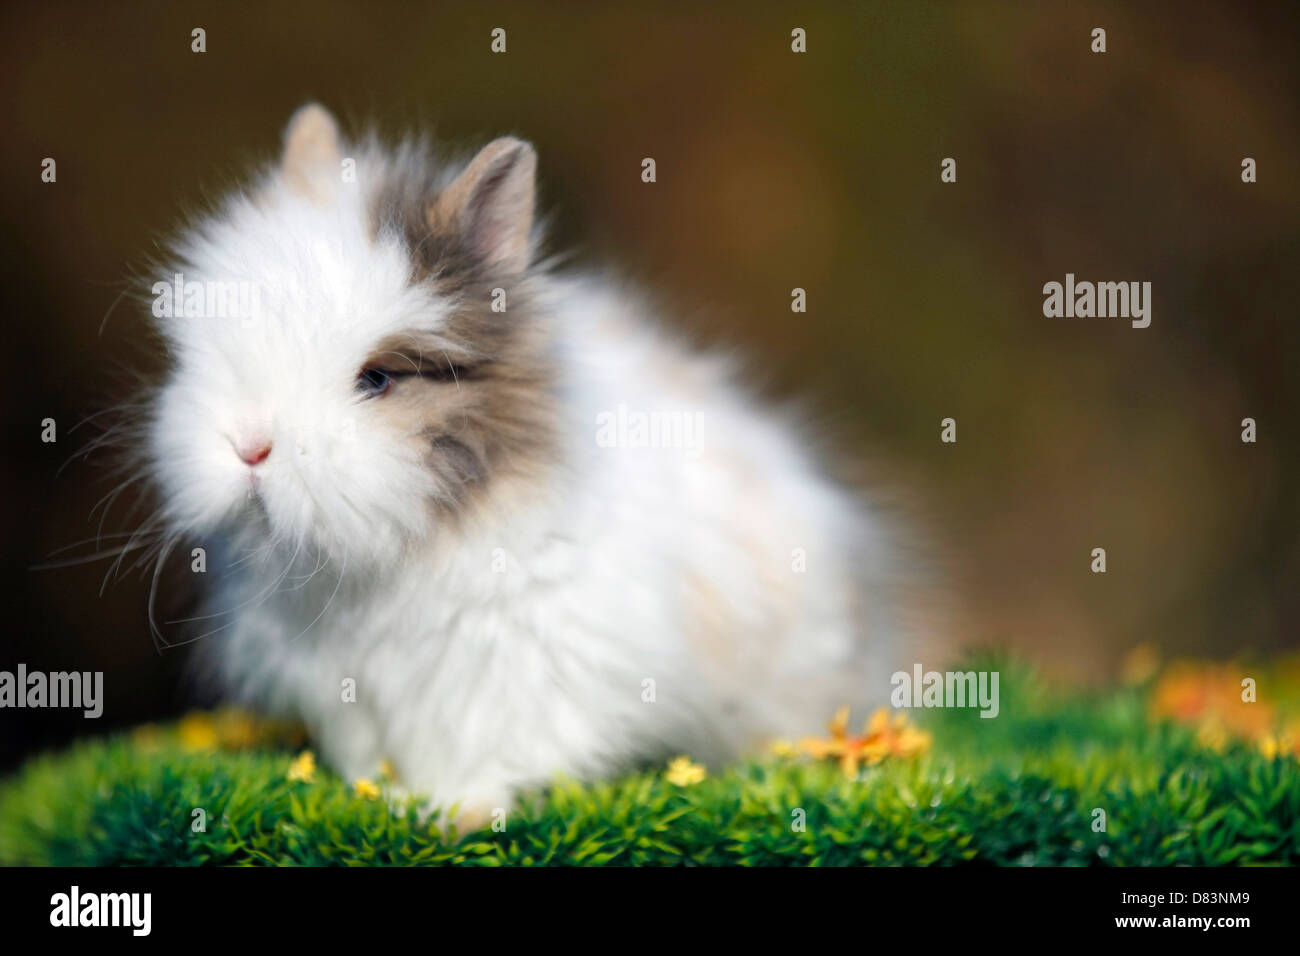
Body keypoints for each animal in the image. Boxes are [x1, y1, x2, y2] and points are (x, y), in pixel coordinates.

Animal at [143, 103, 933, 829]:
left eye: (377, 380)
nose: (248, 446)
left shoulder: (527, 676)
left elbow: (492, 755)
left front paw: (456, 813)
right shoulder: (349, 693)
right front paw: (380, 799)